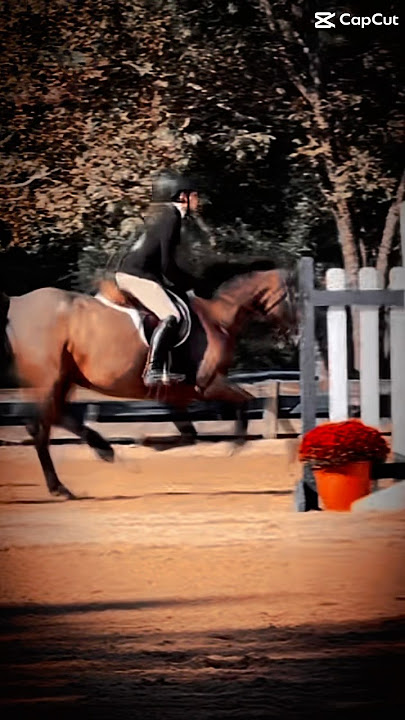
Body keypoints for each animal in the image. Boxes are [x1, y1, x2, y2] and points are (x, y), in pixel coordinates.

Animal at [0, 267, 295, 499]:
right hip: (48, 378)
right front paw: (235, 444)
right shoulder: (207, 384)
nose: (294, 336)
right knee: (40, 427)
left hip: (65, 378)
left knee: (57, 416)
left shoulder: (176, 396)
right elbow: (244, 400)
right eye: (292, 296)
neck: (218, 319)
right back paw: (60, 487)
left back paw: (103, 450)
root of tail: (17, 303)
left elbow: (190, 435)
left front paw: (148, 442)